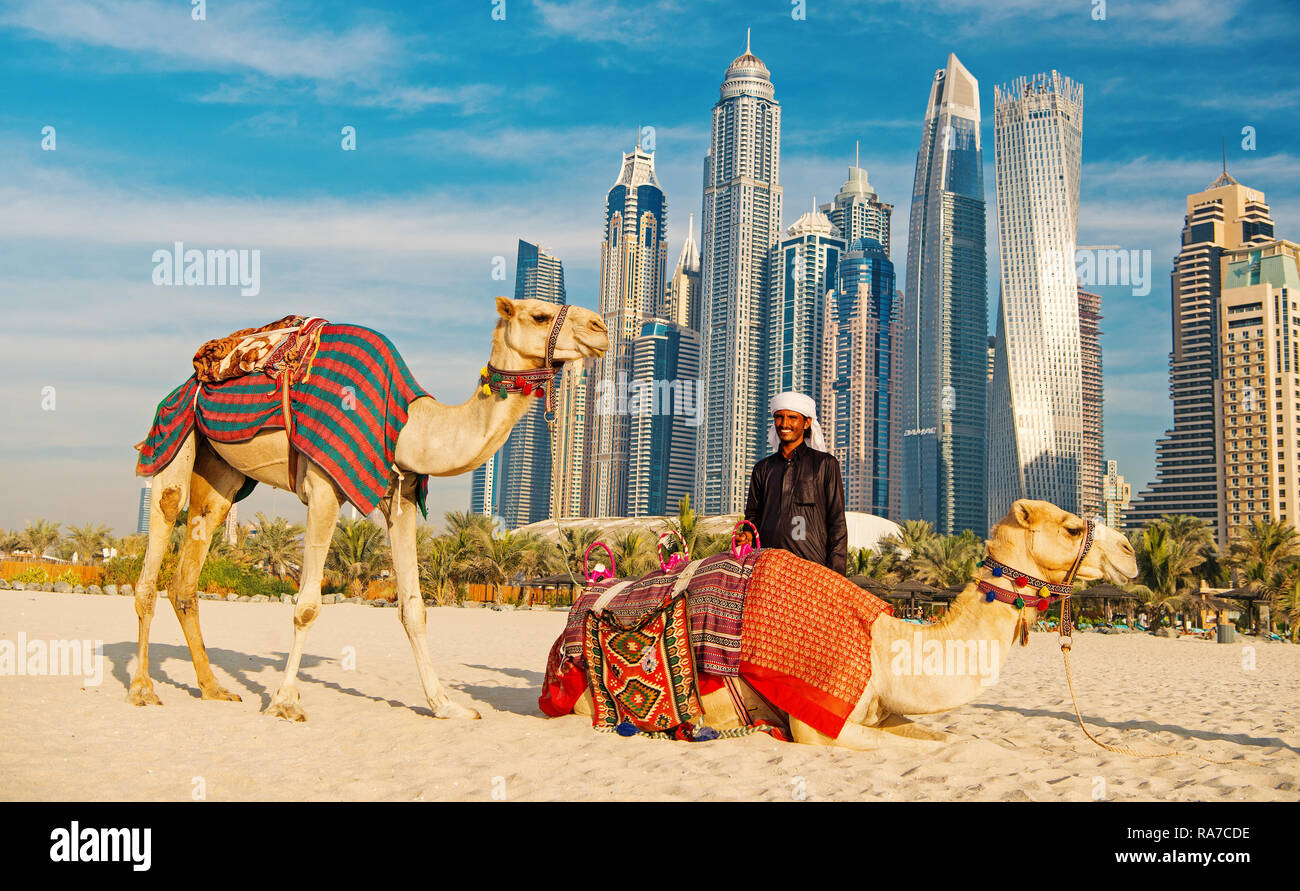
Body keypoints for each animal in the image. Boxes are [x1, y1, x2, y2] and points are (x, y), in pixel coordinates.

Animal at [129, 297, 609, 721]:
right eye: (540, 314)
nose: (601, 327)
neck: (412, 427)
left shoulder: (402, 496)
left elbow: (414, 608)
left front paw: (447, 706)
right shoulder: (324, 486)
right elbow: (307, 605)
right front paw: (285, 702)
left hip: (222, 473)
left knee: (189, 571)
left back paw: (213, 688)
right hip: (173, 432)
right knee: (161, 529)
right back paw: (143, 689)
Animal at [572, 499, 1138, 749]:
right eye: (1072, 527)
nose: (1130, 552)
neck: (886, 648)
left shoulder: (885, 711)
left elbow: (950, 739)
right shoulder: (821, 723)